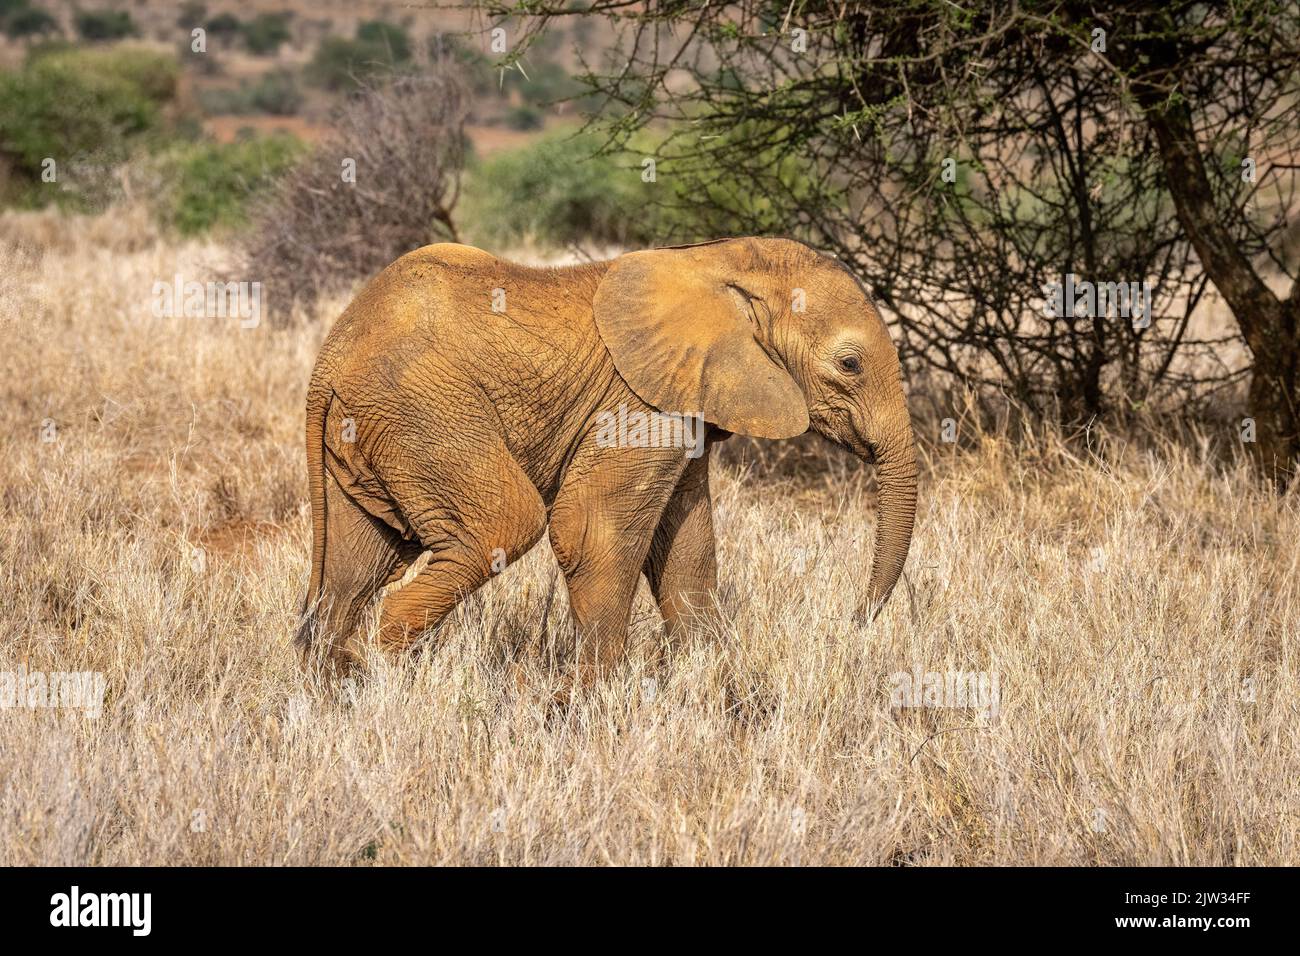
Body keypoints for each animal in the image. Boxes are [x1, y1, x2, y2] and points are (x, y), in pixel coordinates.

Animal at [296, 237, 918, 680]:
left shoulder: (685, 396)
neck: (719, 260)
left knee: (358, 564)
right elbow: (593, 529)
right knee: (503, 525)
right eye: (850, 365)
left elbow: (686, 545)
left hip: (370, 431)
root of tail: (329, 358)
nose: (854, 620)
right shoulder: (638, 401)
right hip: (425, 409)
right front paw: (588, 703)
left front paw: (714, 683)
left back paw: (335, 684)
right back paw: (384, 671)